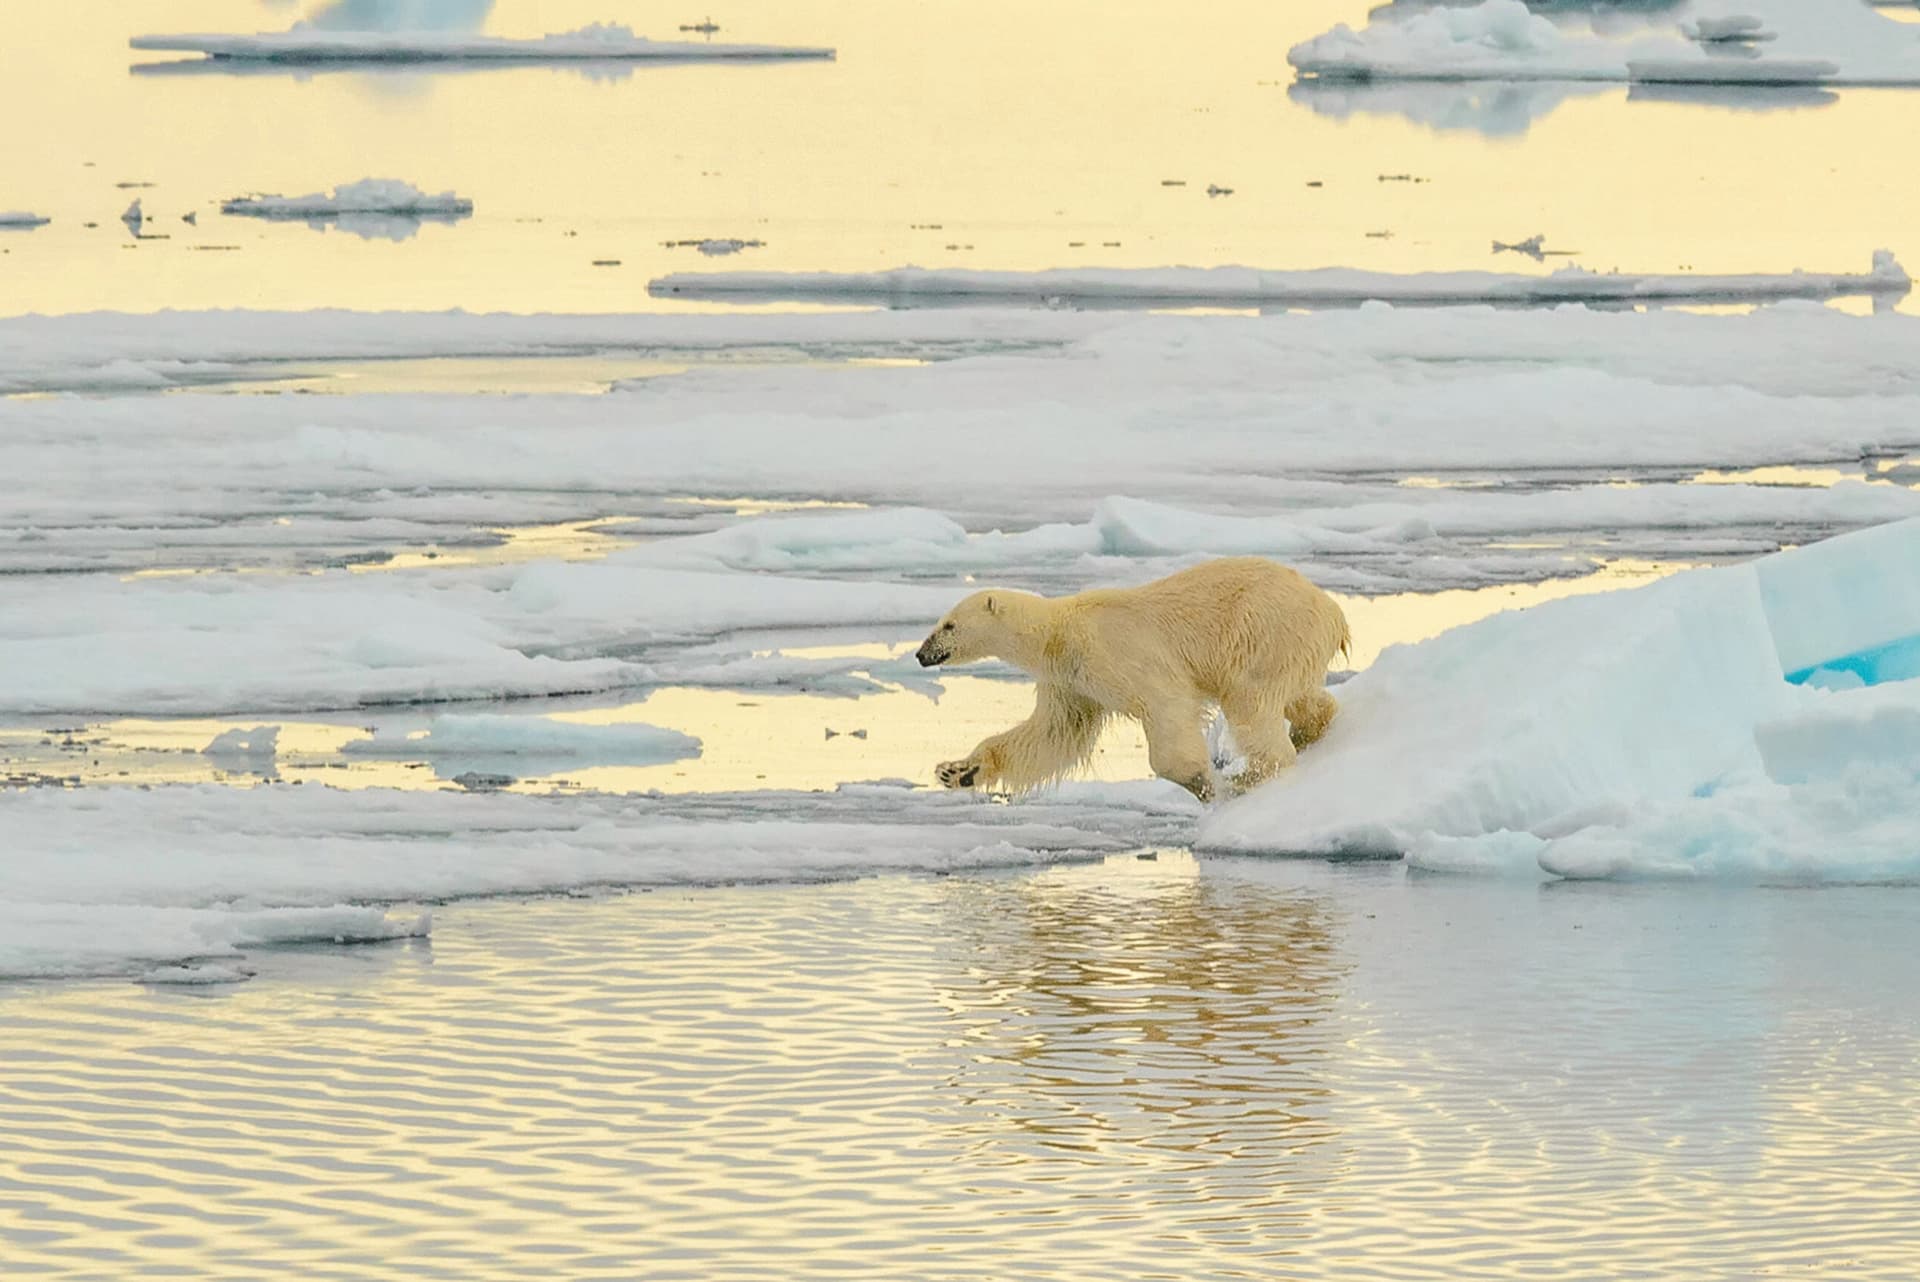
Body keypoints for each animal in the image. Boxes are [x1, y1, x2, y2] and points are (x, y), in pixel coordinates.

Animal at [914, 557, 1350, 803]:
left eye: (948, 625)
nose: (921, 654)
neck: (1060, 631)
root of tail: (1331, 608)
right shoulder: (1071, 681)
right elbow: (1052, 734)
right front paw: (958, 771)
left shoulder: (1118, 652)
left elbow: (1166, 705)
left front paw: (1202, 783)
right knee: (1298, 697)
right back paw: (1308, 731)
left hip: (1264, 629)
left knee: (1251, 702)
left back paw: (1253, 773)